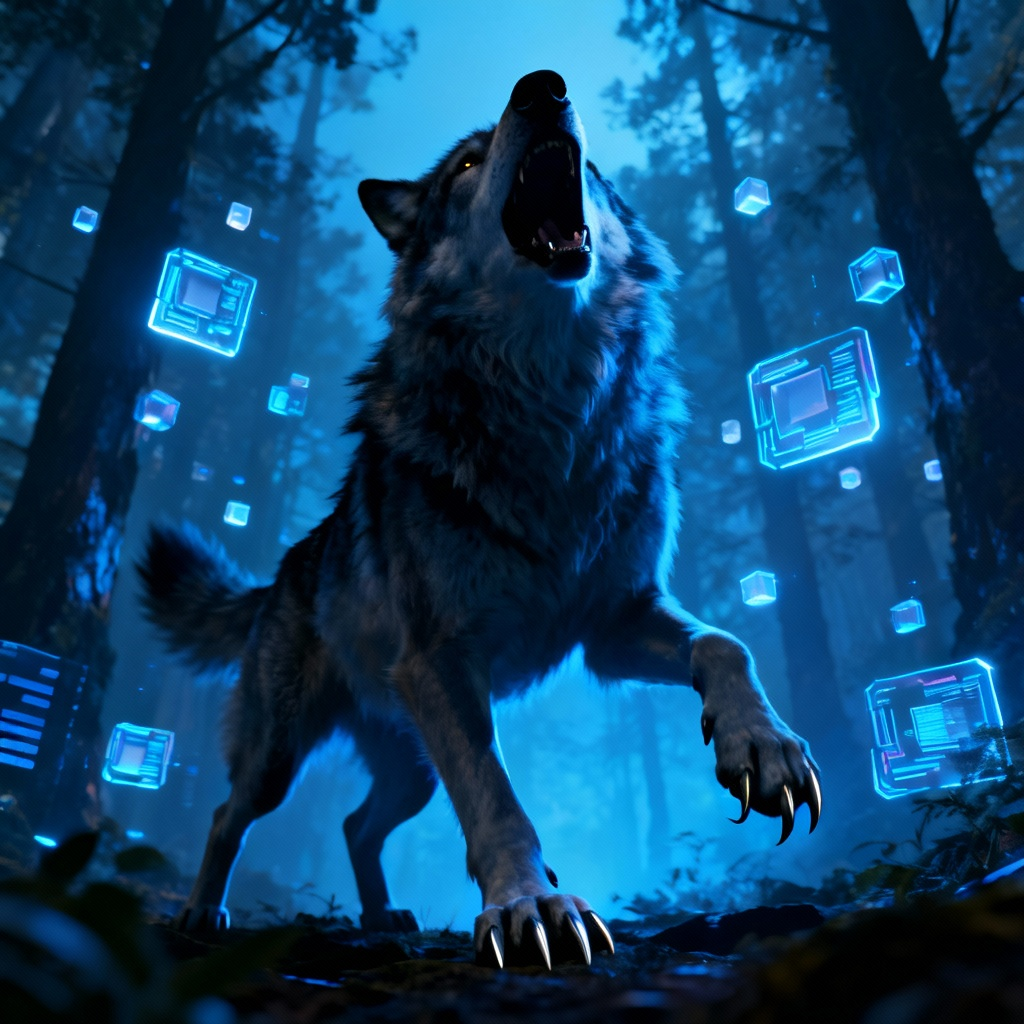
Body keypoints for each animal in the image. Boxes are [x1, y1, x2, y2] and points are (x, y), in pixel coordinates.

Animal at [139, 70, 821, 969]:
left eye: (590, 168)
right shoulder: (445, 664)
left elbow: (725, 642)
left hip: (410, 770)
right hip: (285, 754)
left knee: (356, 823)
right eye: (466, 162)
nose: (542, 87)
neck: (553, 412)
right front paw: (532, 906)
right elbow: (496, 796)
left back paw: (383, 918)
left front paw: (764, 747)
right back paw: (197, 914)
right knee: (229, 814)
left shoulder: (614, 623)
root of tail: (286, 565)